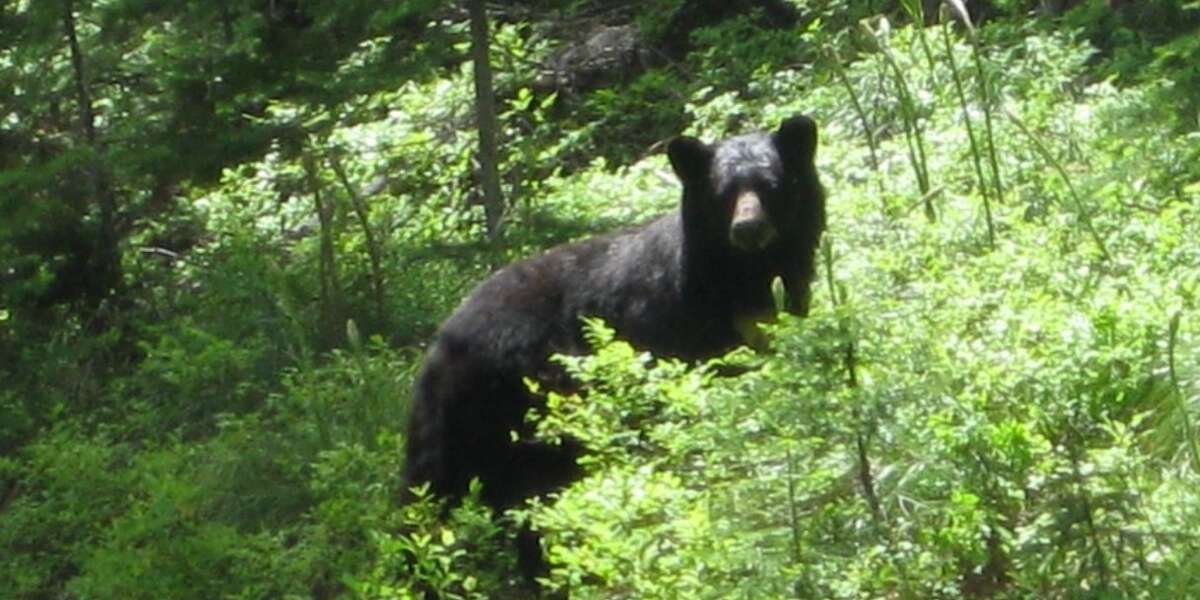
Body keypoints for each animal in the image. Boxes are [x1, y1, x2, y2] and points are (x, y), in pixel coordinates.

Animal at [403, 115, 826, 580]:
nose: (749, 228)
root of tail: (442, 340)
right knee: (437, 492)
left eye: (771, 185)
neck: (741, 281)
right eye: (724, 192)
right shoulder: (672, 329)